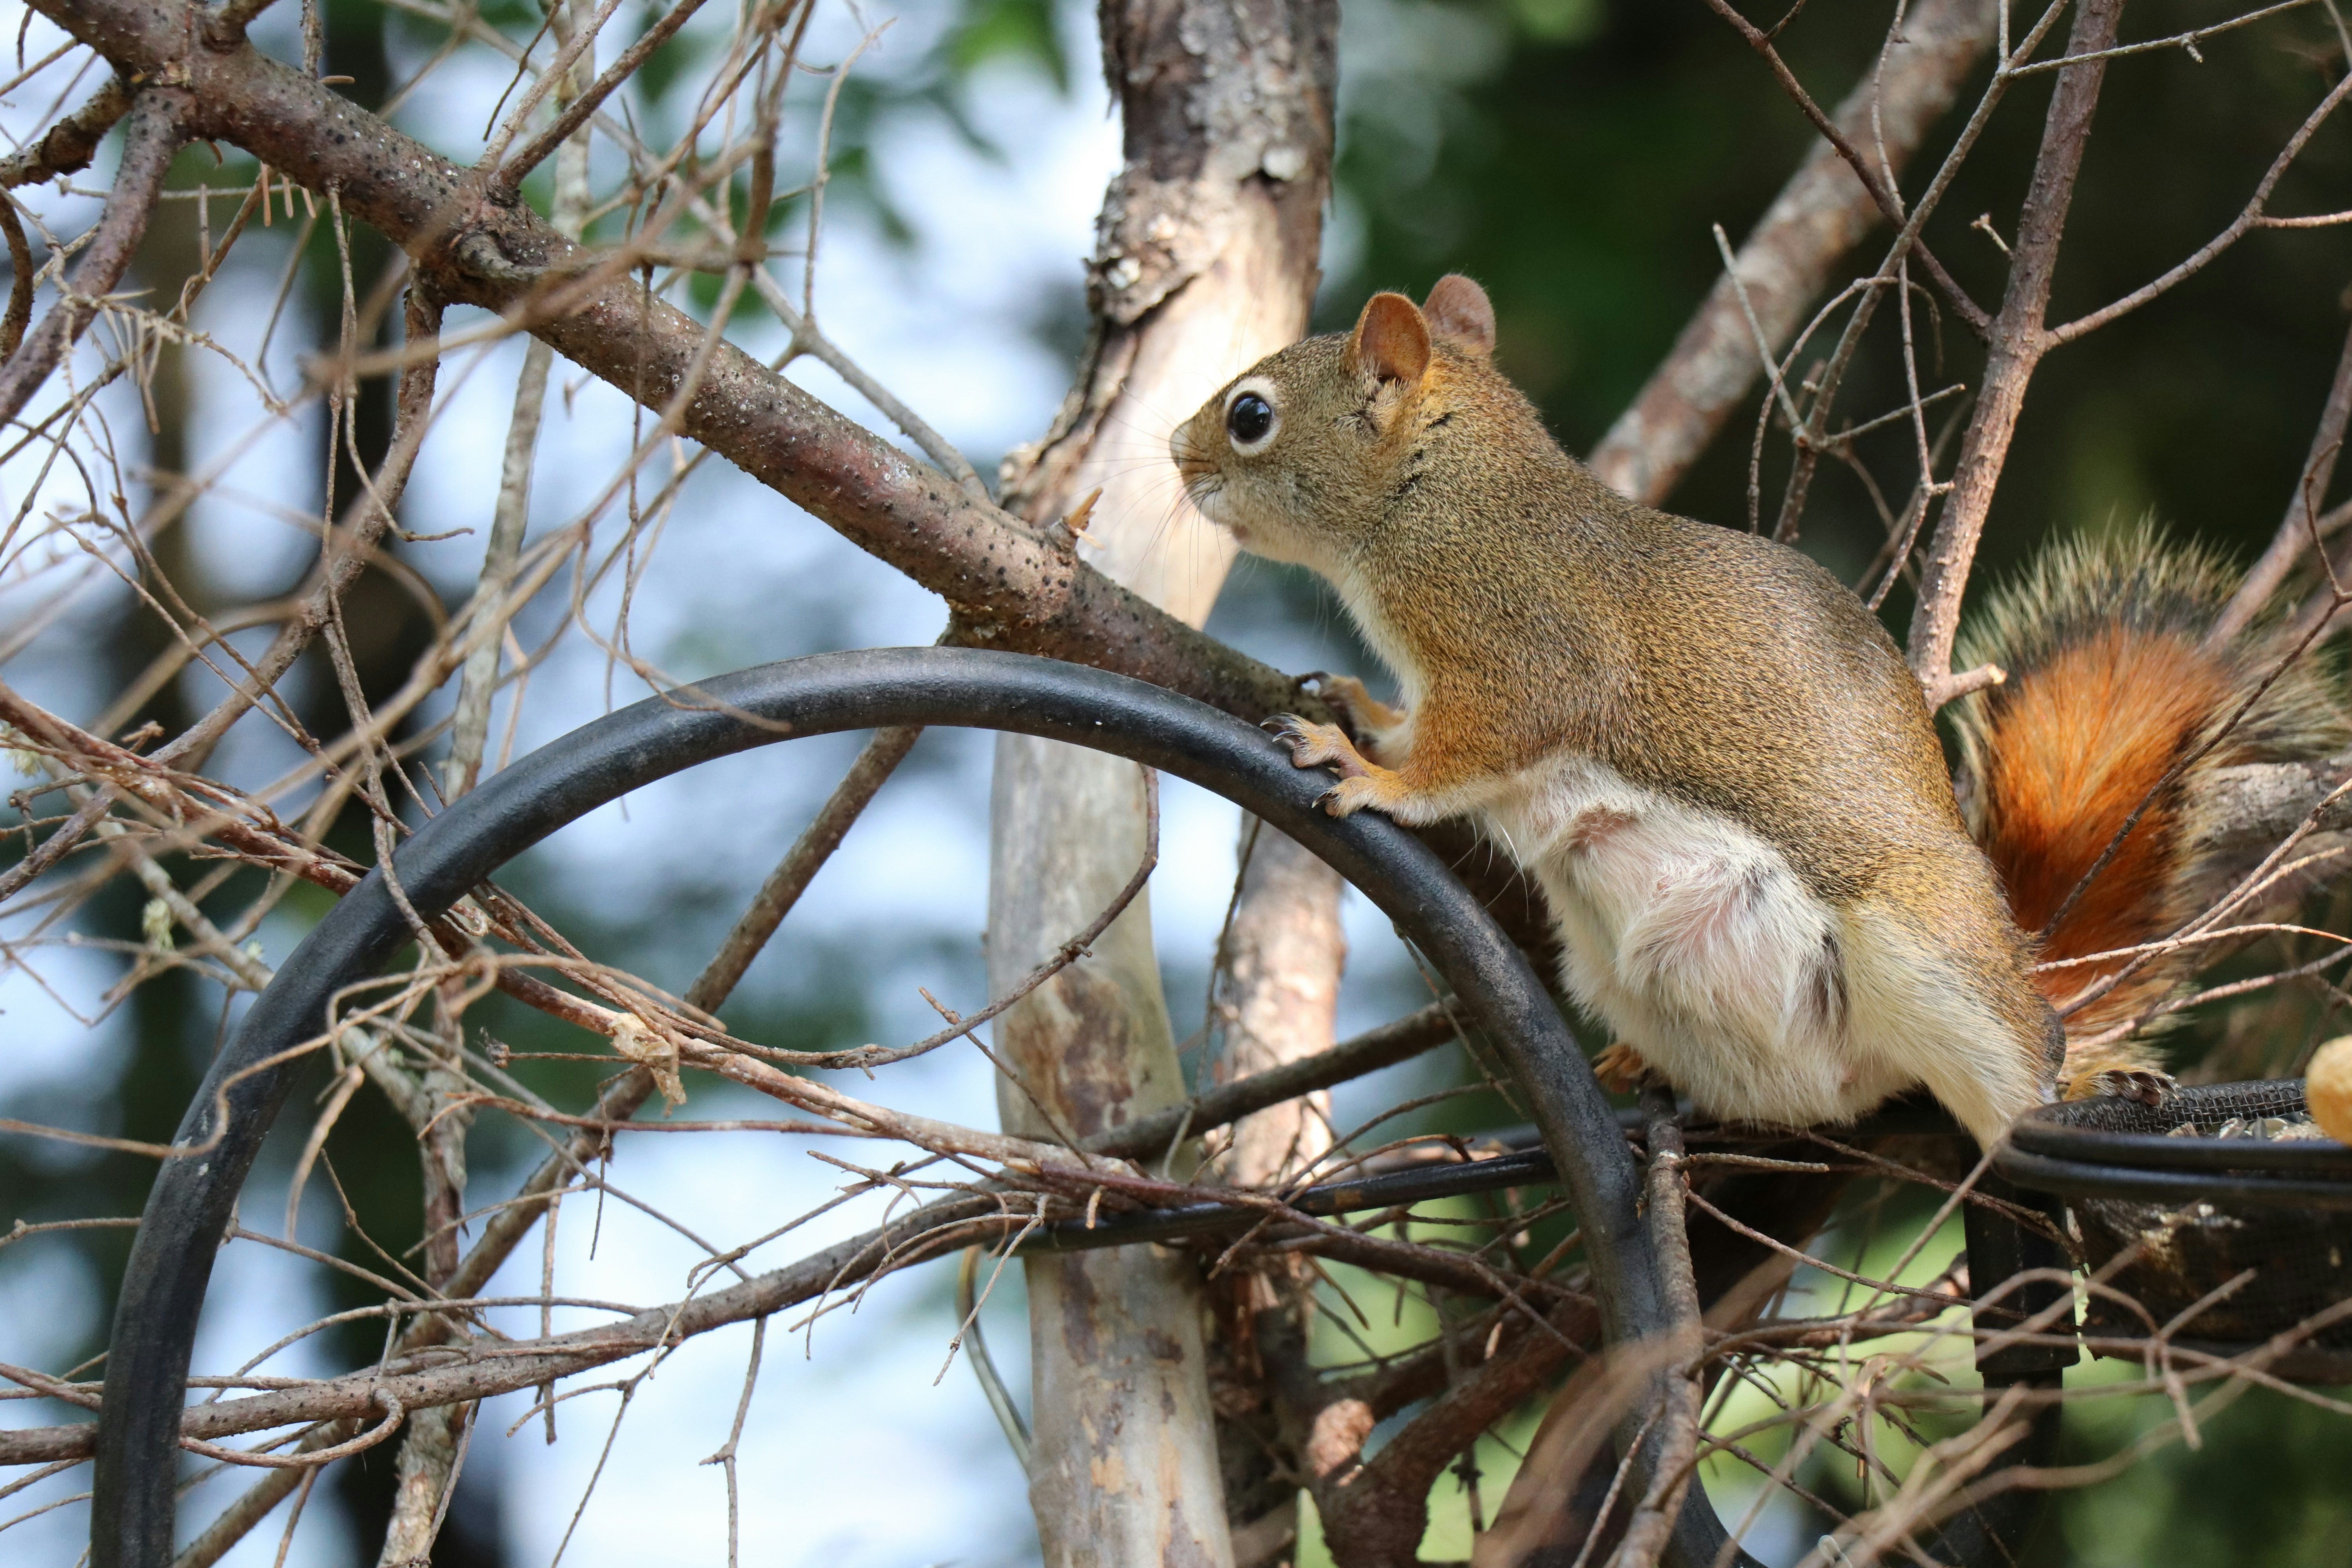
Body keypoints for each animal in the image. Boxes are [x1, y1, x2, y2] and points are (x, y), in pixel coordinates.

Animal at [1169, 274, 2347, 1148]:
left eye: (1251, 416)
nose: (1175, 455)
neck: (1441, 494)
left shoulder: (1527, 645)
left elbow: (1467, 754)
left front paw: (1370, 773)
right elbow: (1423, 723)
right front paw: (1360, 707)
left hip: (1926, 951)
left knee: (2021, 1072)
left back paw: (2077, 1097)